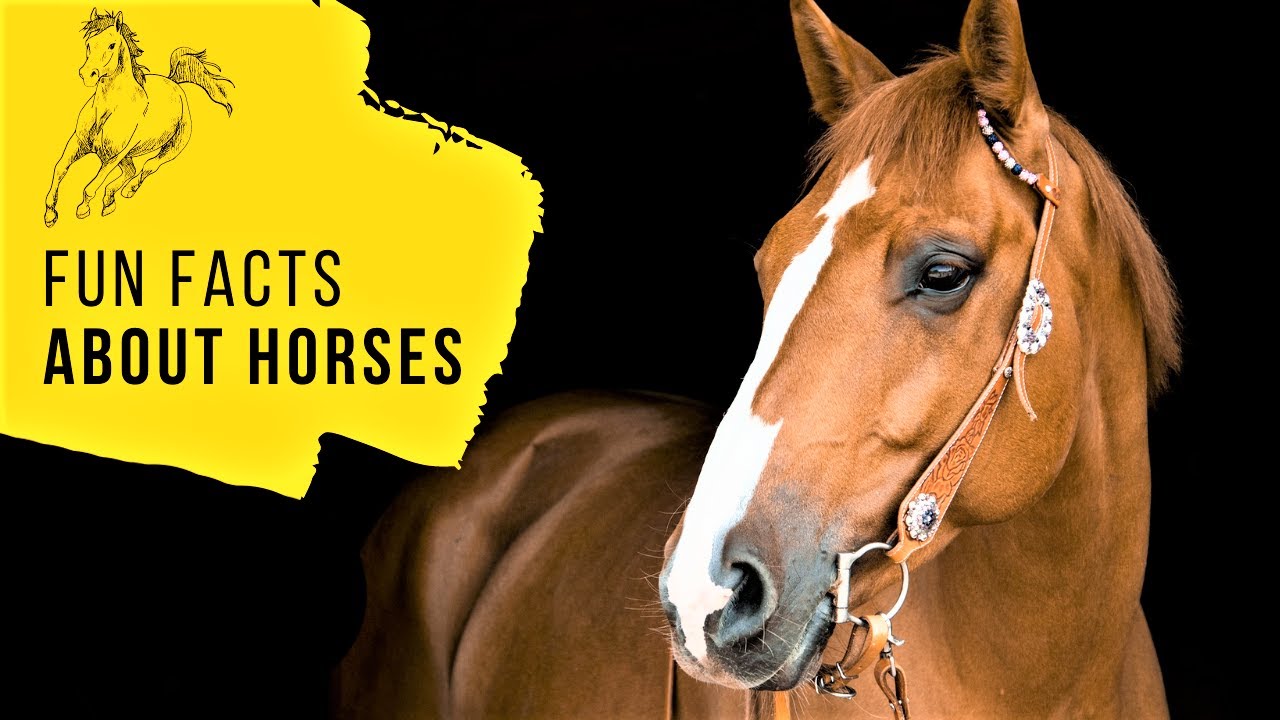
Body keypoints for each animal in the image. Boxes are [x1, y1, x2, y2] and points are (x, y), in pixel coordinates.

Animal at [43, 8, 233, 228]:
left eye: (111, 45)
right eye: (89, 44)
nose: (88, 74)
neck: (109, 109)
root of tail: (174, 83)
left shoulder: (113, 157)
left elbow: (91, 186)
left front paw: (82, 210)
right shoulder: (78, 143)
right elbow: (60, 169)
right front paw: (50, 215)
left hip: (173, 147)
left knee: (148, 167)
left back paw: (126, 192)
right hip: (128, 155)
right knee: (131, 171)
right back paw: (109, 202)